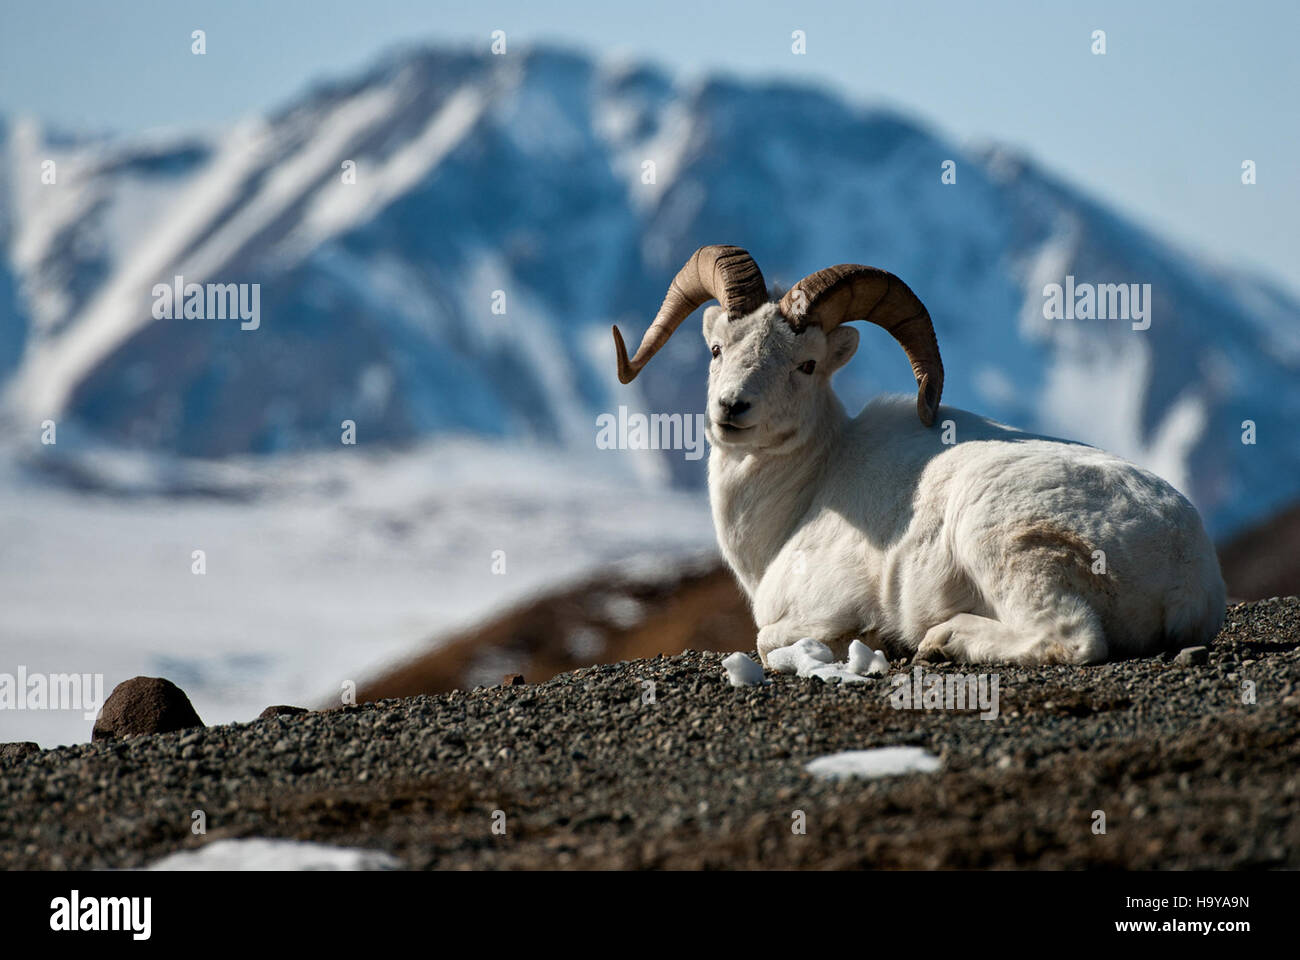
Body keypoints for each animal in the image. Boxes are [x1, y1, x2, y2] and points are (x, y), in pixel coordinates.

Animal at [612, 245, 1226, 666]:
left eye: (805, 364)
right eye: (717, 350)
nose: (731, 409)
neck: (807, 492)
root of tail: (1186, 564)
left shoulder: (822, 606)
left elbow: (767, 640)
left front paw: (871, 638)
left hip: (1003, 541)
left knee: (1071, 638)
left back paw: (941, 641)